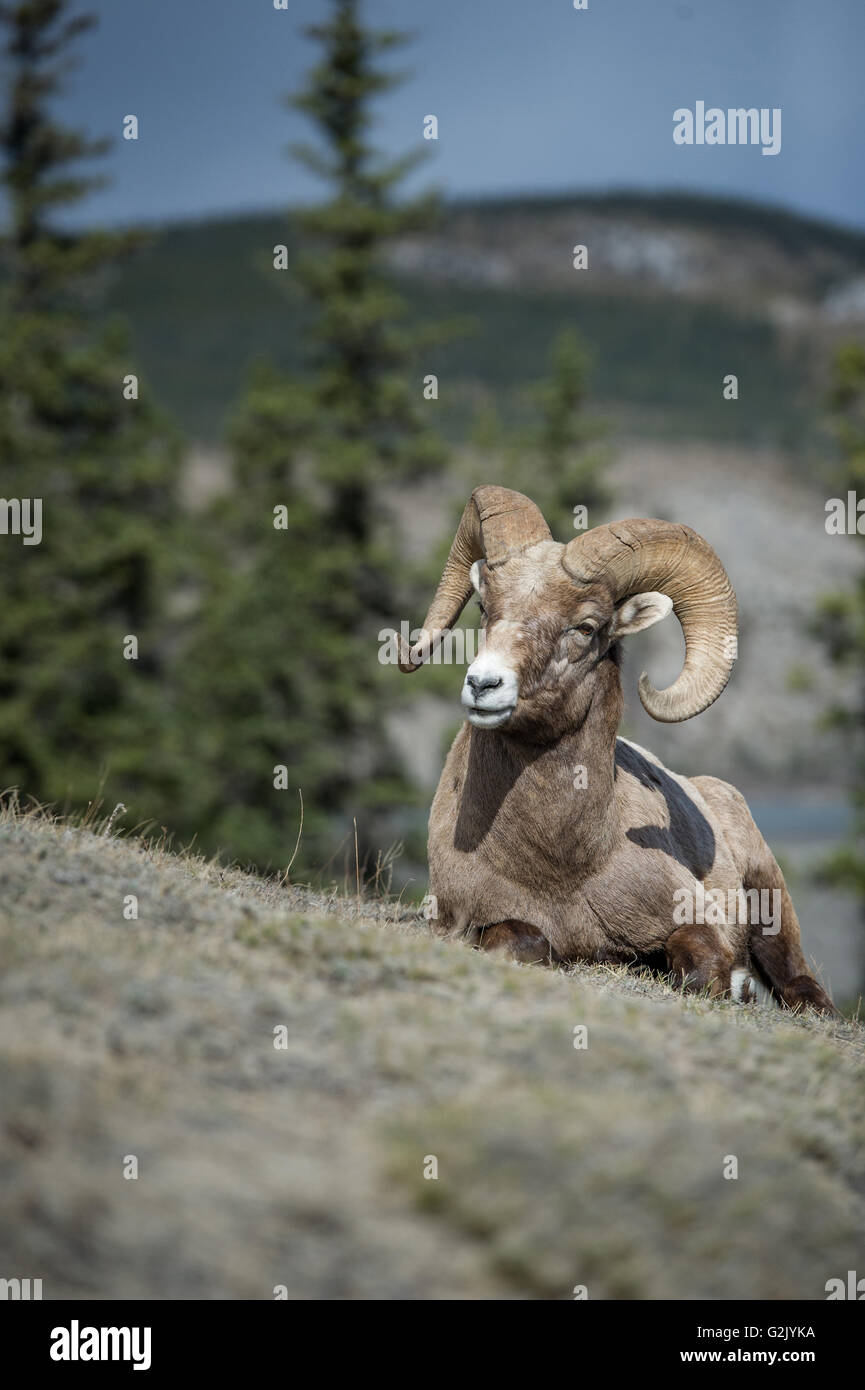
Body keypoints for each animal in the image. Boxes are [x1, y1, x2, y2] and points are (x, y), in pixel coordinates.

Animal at [397, 485, 836, 1015]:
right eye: (485, 608)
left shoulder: (692, 916)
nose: (483, 685)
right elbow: (523, 940)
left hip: (770, 902)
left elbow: (702, 967)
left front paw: (732, 984)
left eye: (586, 627)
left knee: (801, 988)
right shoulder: (466, 921)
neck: (562, 870)